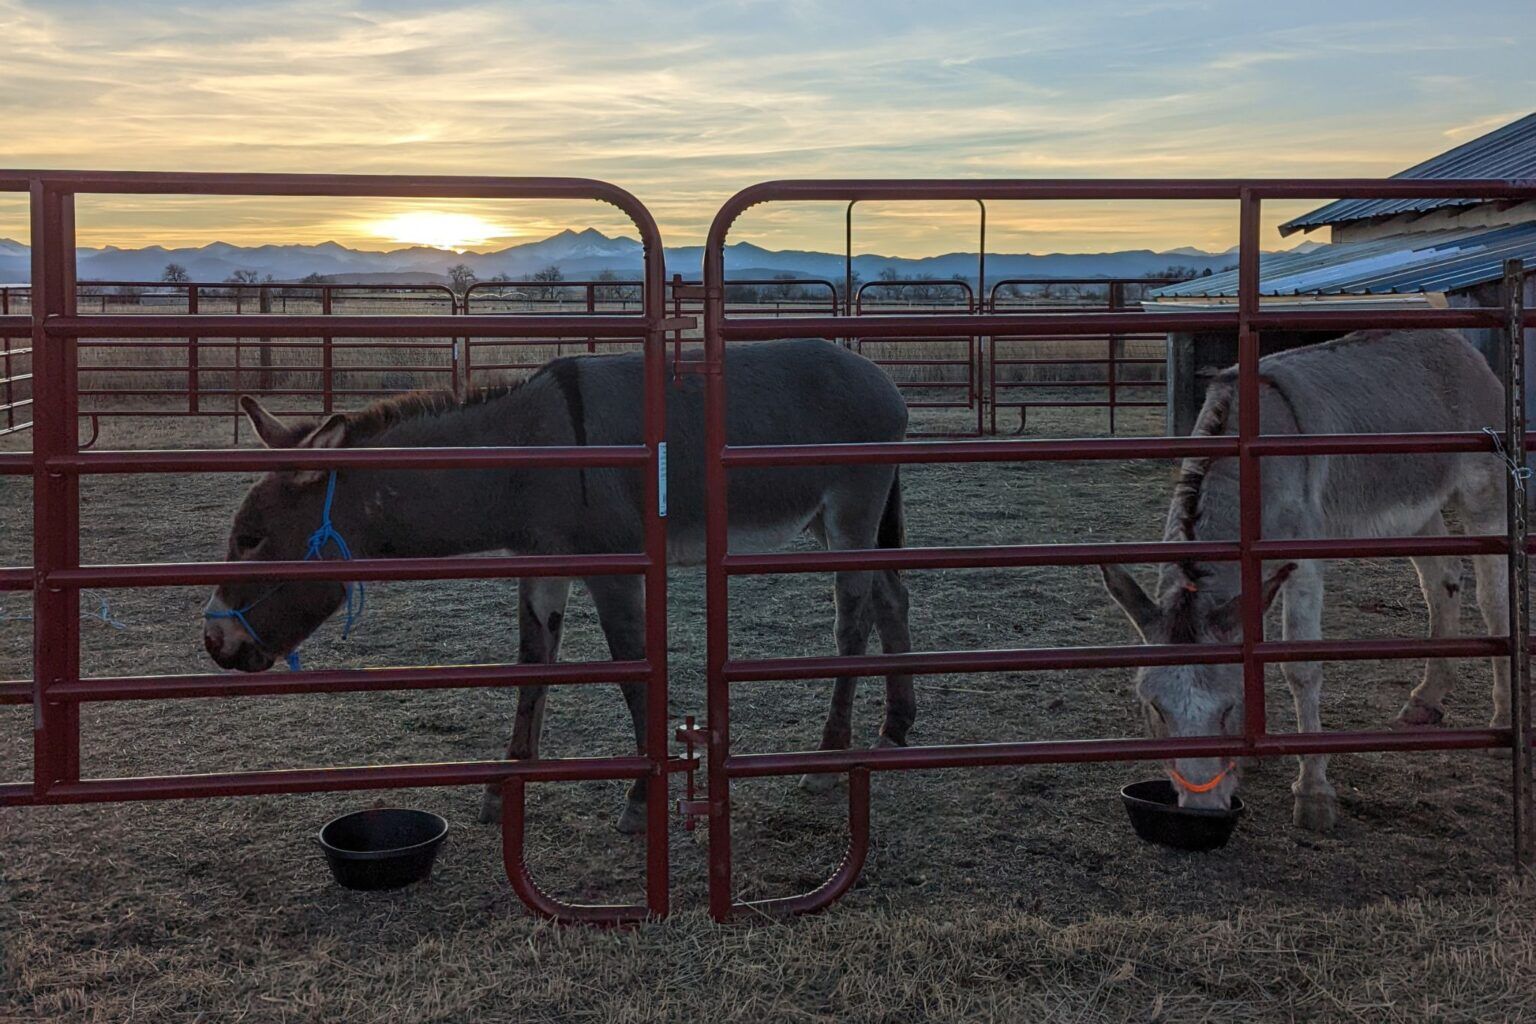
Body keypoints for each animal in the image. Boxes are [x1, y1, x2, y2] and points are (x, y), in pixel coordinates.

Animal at [202, 338, 915, 833]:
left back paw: (827, 761)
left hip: (850, 511)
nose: (215, 642)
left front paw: (641, 800)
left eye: (252, 538)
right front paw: (505, 784)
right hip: (833, 521)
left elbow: (632, 670)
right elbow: (533, 663)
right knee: (892, 598)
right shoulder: (540, 565)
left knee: (852, 618)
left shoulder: (616, 569)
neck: (531, 450)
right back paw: (896, 731)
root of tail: (881, 377)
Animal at [1100, 329, 1508, 831]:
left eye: (1227, 709)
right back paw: (1425, 701)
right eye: (1156, 709)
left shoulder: (1303, 566)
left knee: (1494, 600)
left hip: (1484, 493)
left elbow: (1300, 667)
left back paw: (1503, 718)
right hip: (1416, 510)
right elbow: (1251, 652)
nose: (1201, 811)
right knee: (1442, 578)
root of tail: (1454, 340)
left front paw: (1313, 792)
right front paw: (1256, 753)